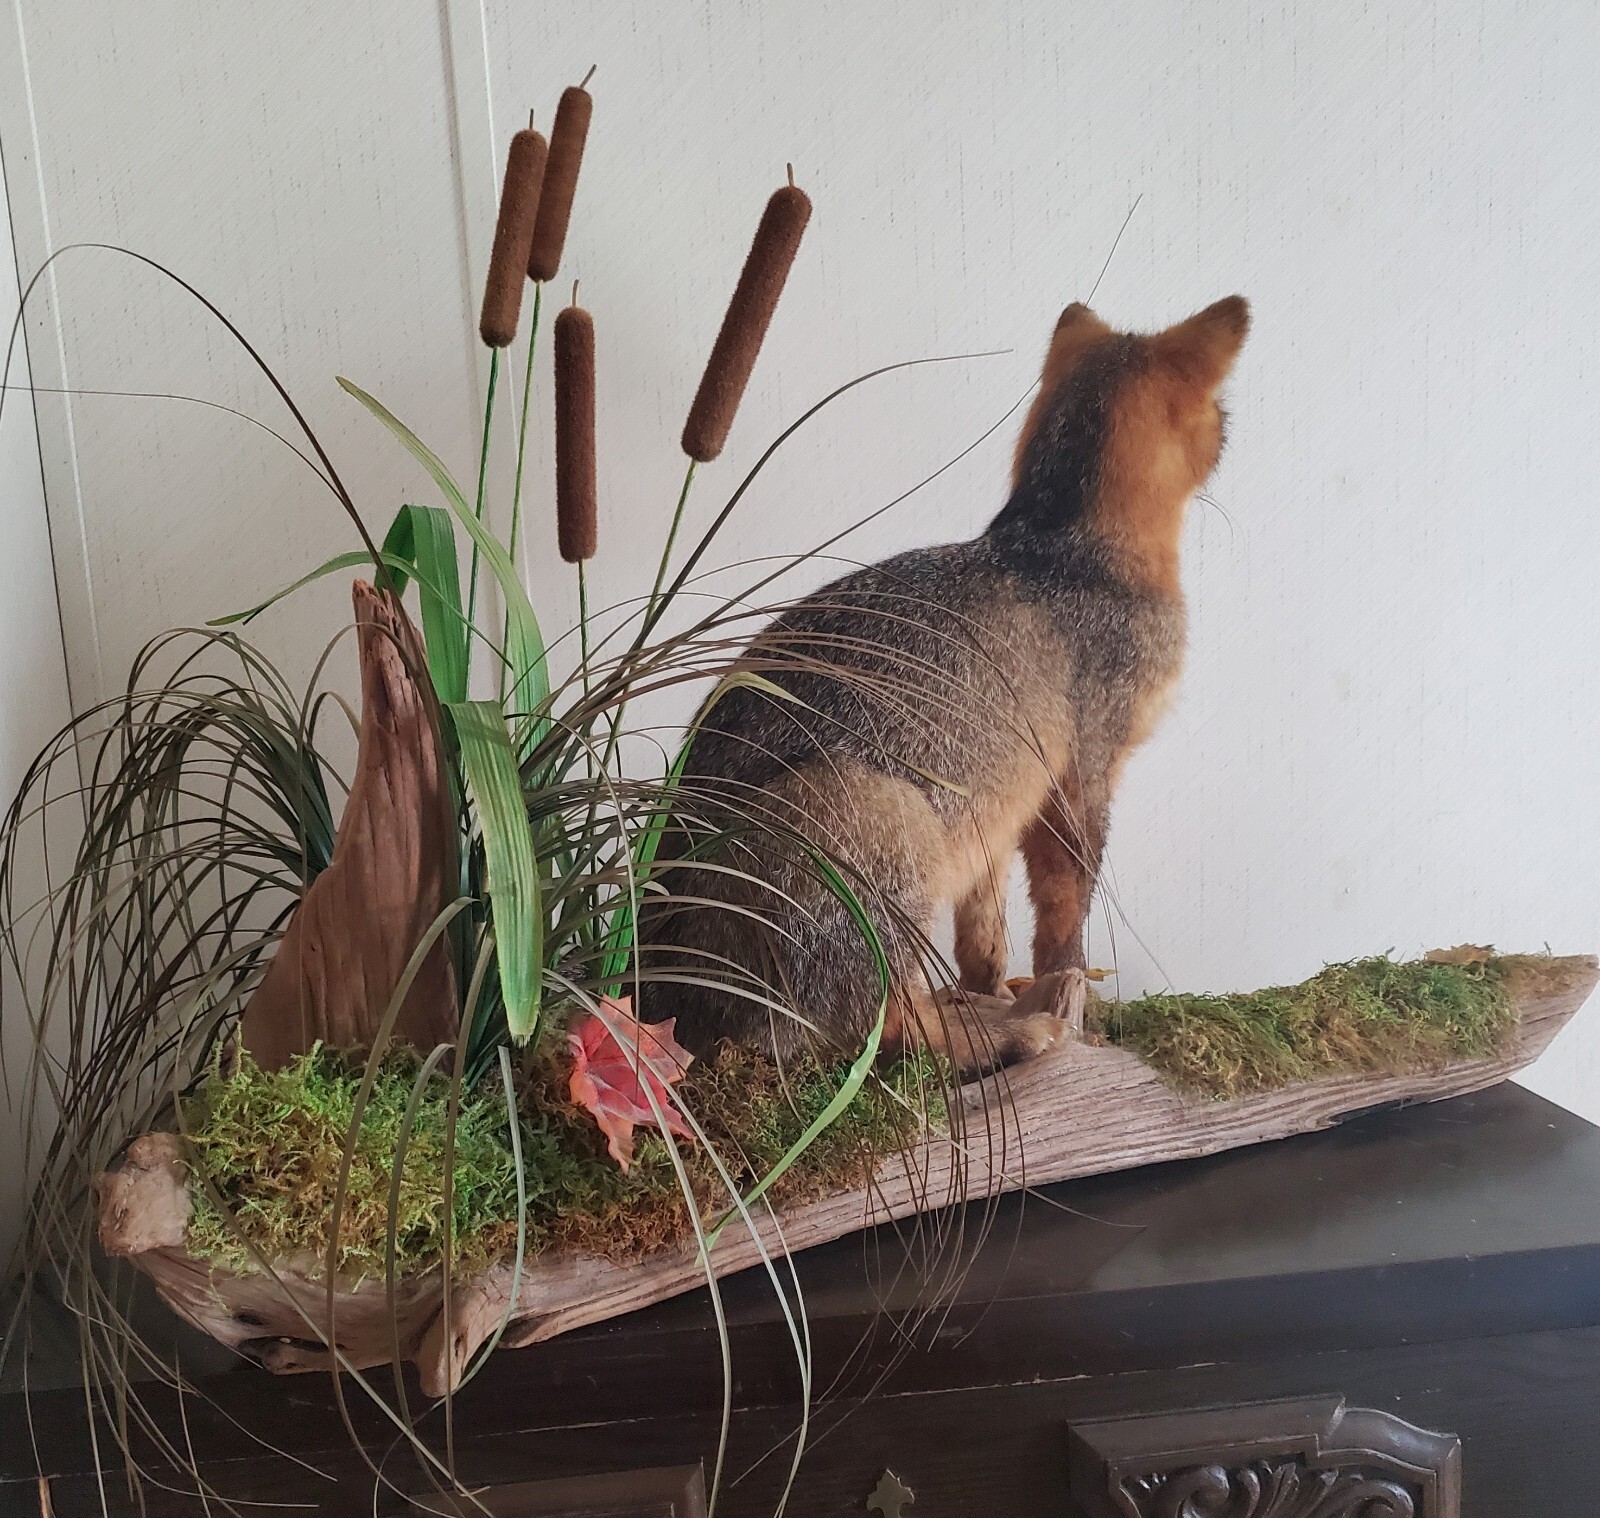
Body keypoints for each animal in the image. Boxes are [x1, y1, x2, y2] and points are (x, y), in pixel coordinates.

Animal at [640, 296, 1250, 1075]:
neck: (1055, 550)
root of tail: (665, 989)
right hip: (887, 827)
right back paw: (1005, 1034)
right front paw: (1067, 999)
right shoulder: (1083, 776)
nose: (1233, 431)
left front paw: (994, 985)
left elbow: (985, 933)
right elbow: (1066, 917)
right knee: (886, 1029)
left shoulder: (998, 805)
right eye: (1222, 414)